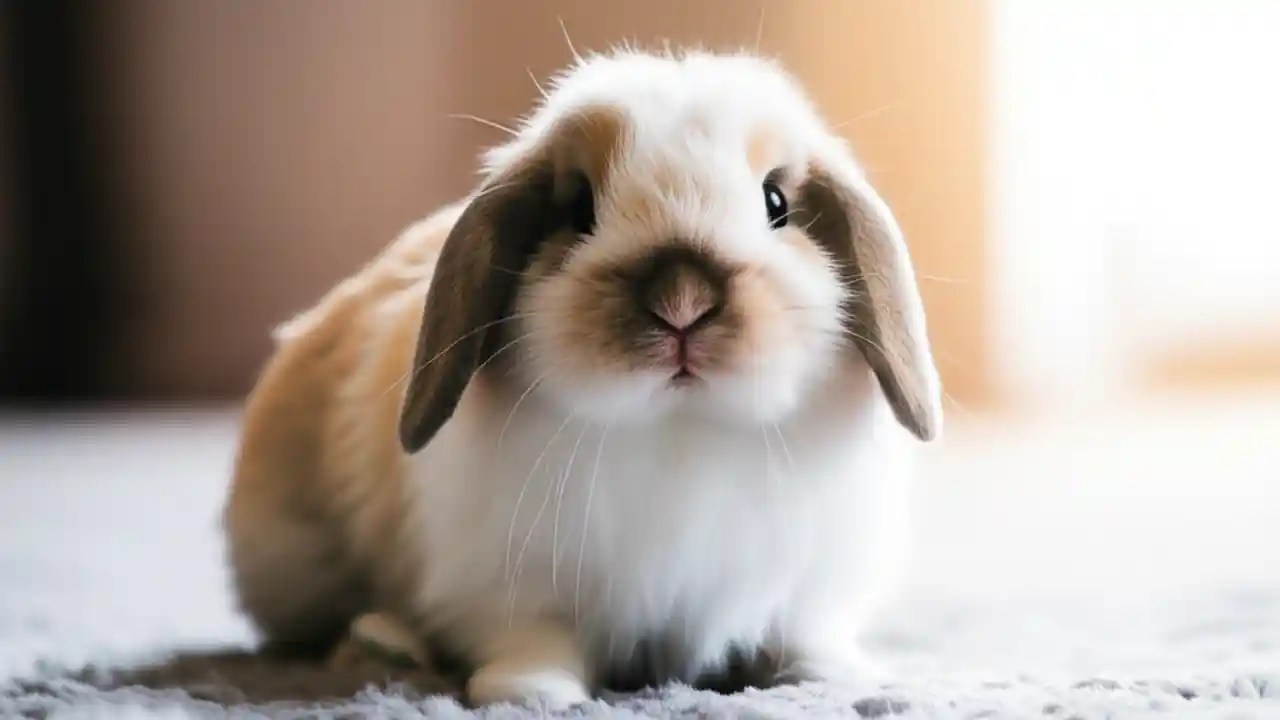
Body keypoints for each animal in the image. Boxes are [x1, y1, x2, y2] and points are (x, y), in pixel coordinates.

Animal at [223, 47, 942, 710]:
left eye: (776, 202)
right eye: (577, 210)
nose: (682, 302)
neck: (679, 432)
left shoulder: (808, 586)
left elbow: (802, 634)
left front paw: (832, 678)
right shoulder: (510, 585)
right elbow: (534, 639)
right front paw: (532, 694)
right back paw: (385, 640)